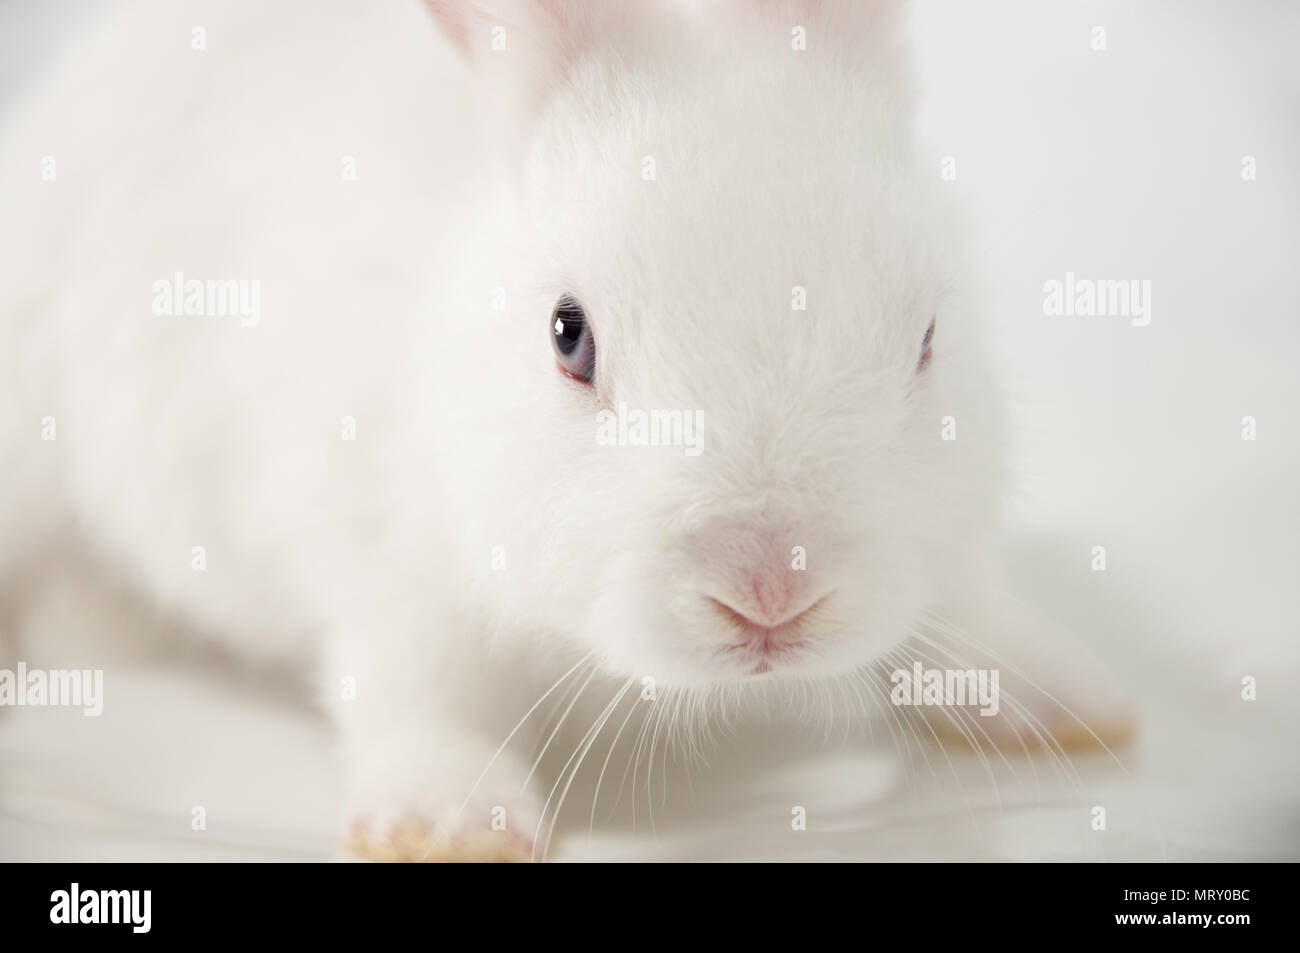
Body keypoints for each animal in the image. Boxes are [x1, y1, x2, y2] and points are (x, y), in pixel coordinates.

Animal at [0, 0, 1132, 861]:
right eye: (568, 334)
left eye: (929, 337)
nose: (771, 592)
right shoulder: (385, 568)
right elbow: (418, 696)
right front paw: (448, 824)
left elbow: (970, 613)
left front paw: (1074, 707)